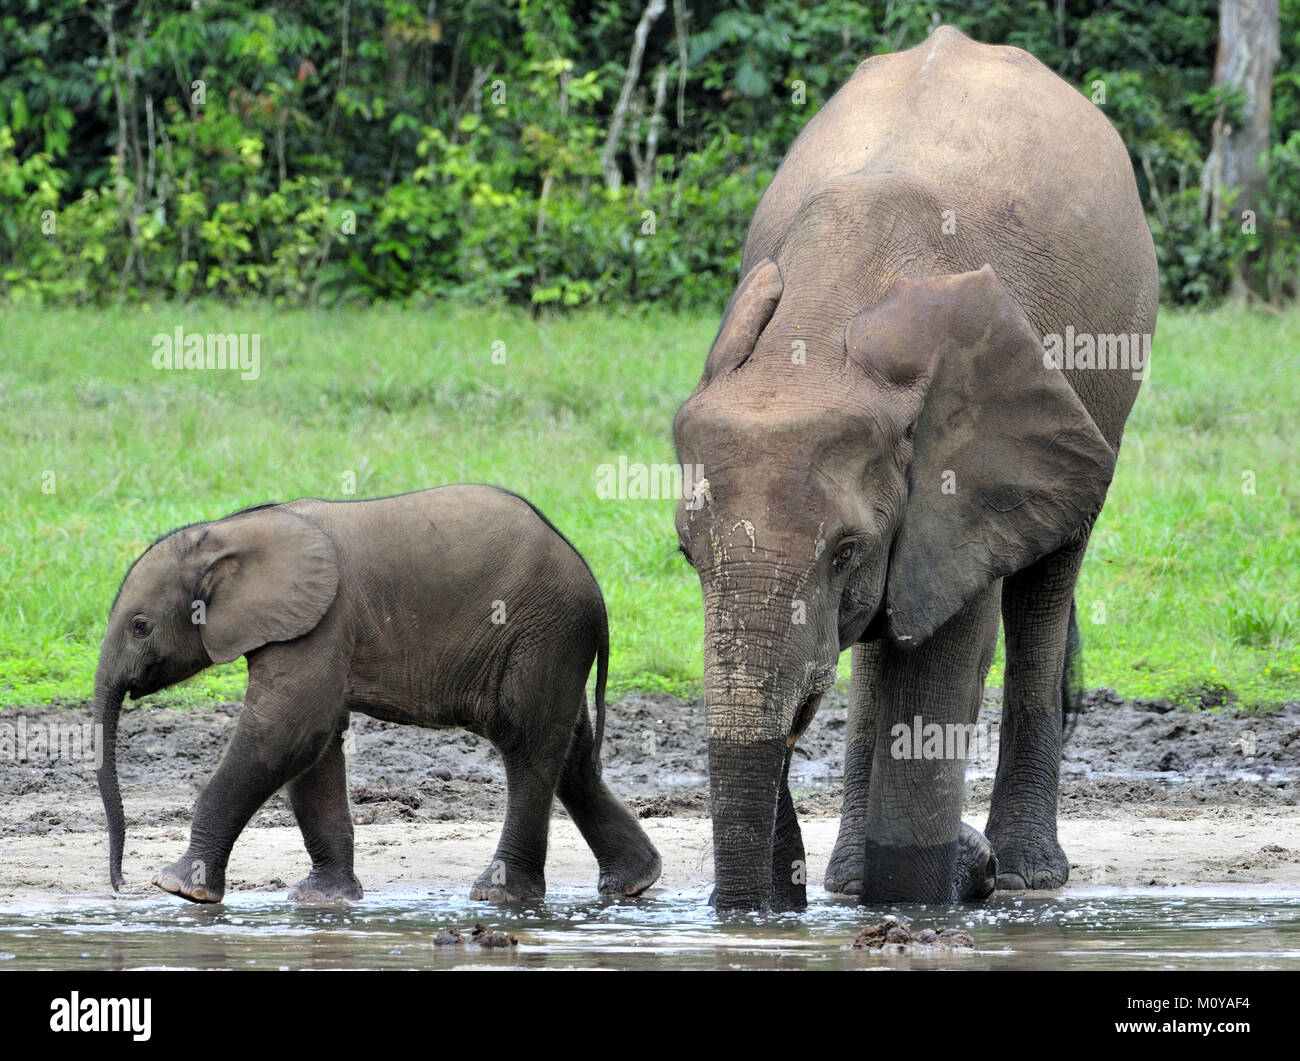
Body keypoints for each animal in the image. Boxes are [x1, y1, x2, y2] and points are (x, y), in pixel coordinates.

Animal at [93, 484, 662, 904]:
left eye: (140, 626)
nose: (120, 887)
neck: (223, 532)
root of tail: (592, 584)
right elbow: (314, 745)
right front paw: (323, 901)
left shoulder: (321, 622)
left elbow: (288, 732)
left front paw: (178, 888)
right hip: (552, 641)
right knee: (572, 754)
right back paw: (633, 884)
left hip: (543, 632)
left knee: (528, 746)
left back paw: (498, 897)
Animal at [672, 26, 1157, 911]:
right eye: (688, 557)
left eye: (843, 552)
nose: (759, 909)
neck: (818, 334)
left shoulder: (970, 476)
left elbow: (943, 655)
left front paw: (915, 900)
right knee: (882, 638)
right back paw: (851, 877)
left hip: (1106, 387)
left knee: (1045, 585)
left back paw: (1026, 872)